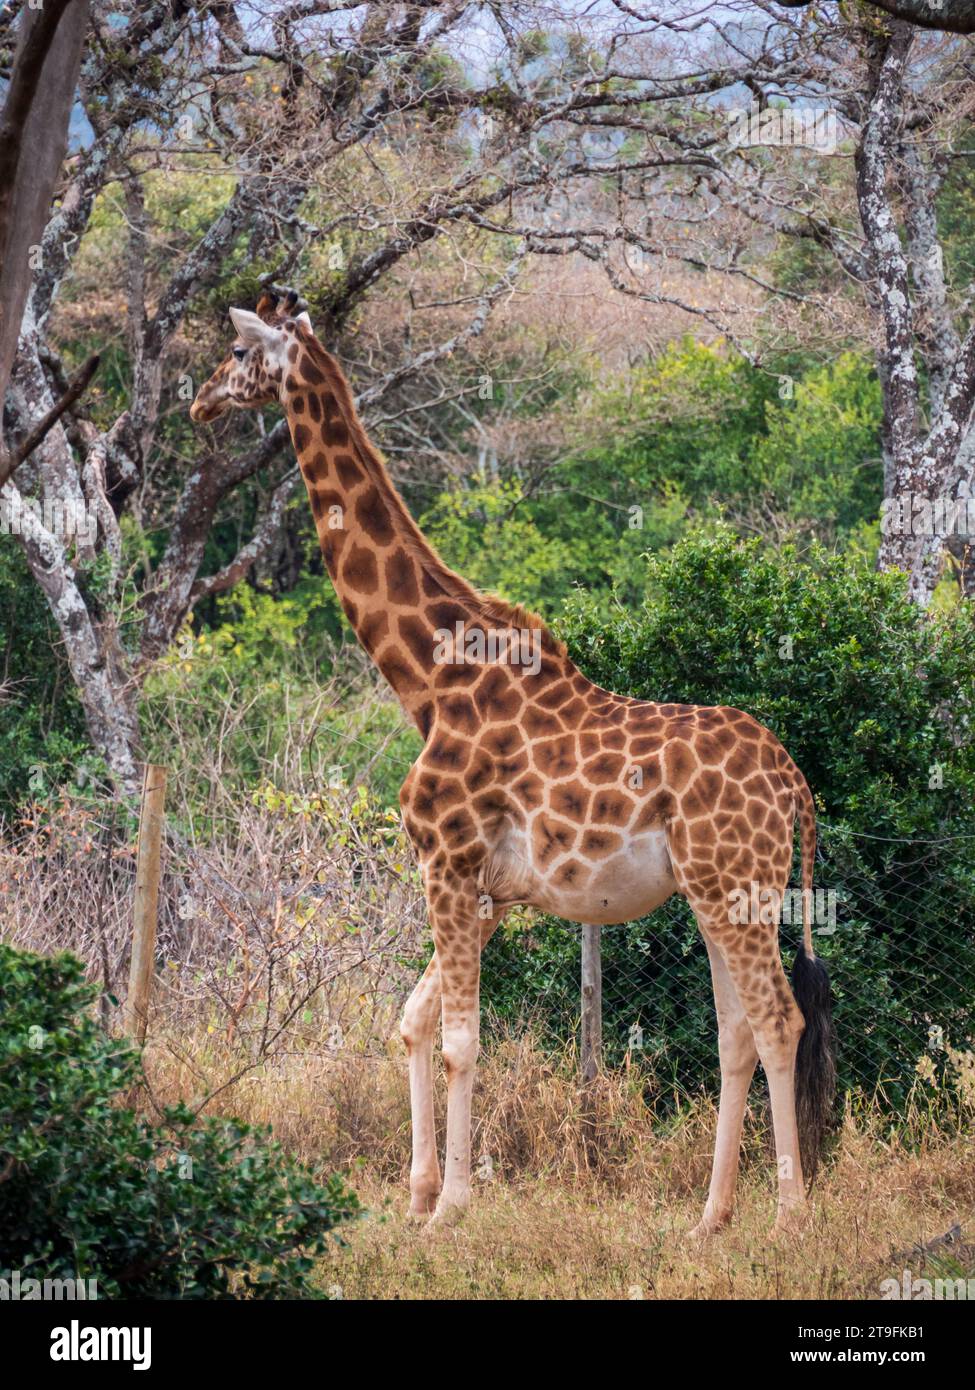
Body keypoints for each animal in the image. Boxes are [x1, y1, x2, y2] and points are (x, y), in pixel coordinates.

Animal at [191, 289, 836, 1237]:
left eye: (237, 350)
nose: (198, 403)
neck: (427, 677)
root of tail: (792, 784)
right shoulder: (490, 887)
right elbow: (412, 1021)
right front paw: (418, 1194)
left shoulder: (449, 861)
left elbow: (461, 1039)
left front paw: (450, 1207)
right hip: (717, 892)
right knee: (738, 1031)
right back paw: (709, 1218)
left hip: (735, 887)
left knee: (779, 1020)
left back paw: (787, 1217)